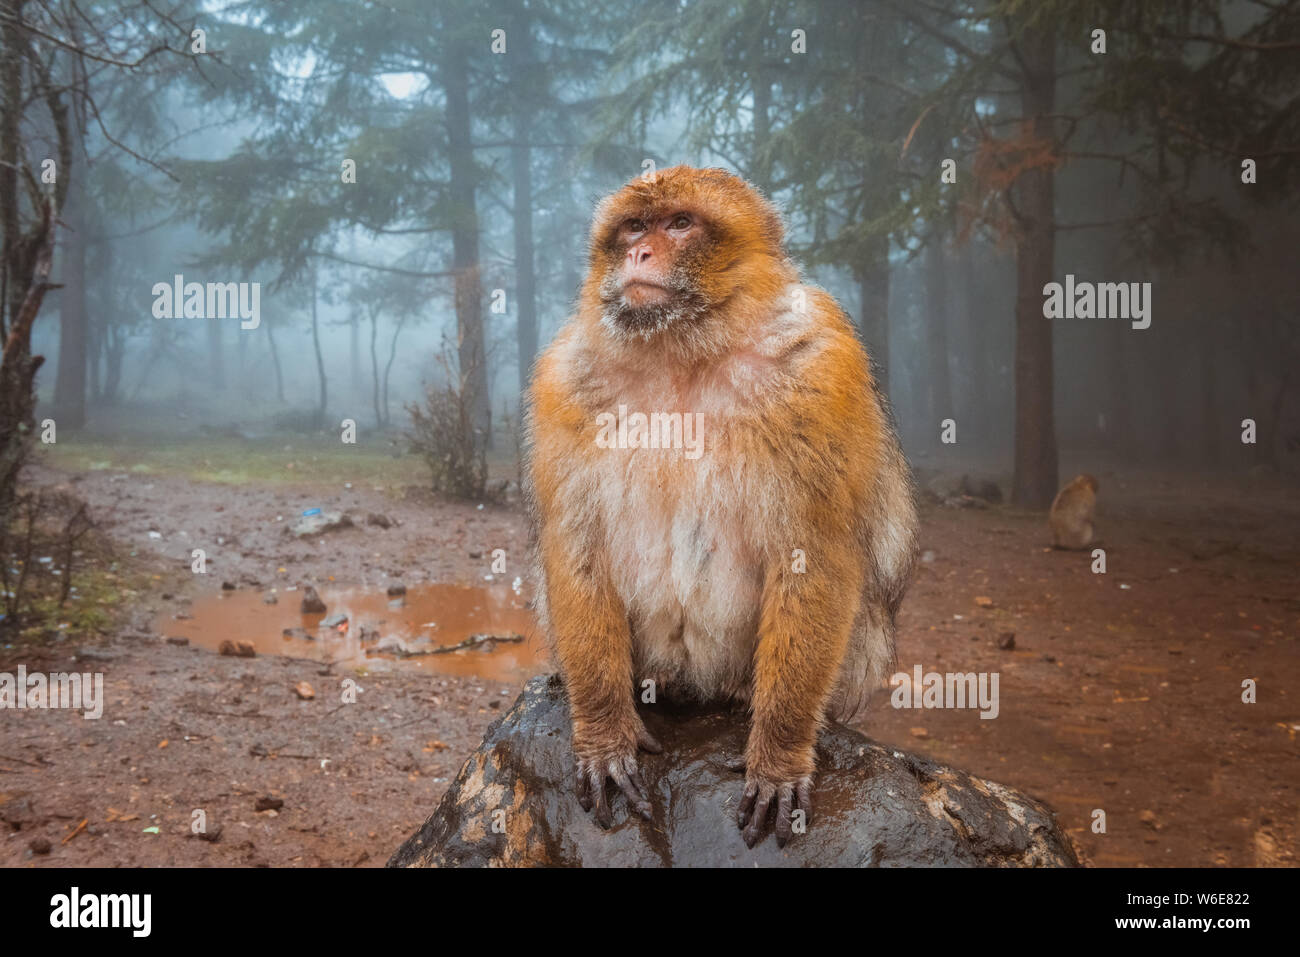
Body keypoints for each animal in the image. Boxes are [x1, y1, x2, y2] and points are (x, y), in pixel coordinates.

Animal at [525, 166, 918, 848]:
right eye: (634, 226)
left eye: (680, 223)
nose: (639, 254)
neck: (681, 352)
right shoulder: (564, 380)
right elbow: (575, 545)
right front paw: (603, 733)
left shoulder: (821, 365)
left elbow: (814, 553)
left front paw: (779, 754)